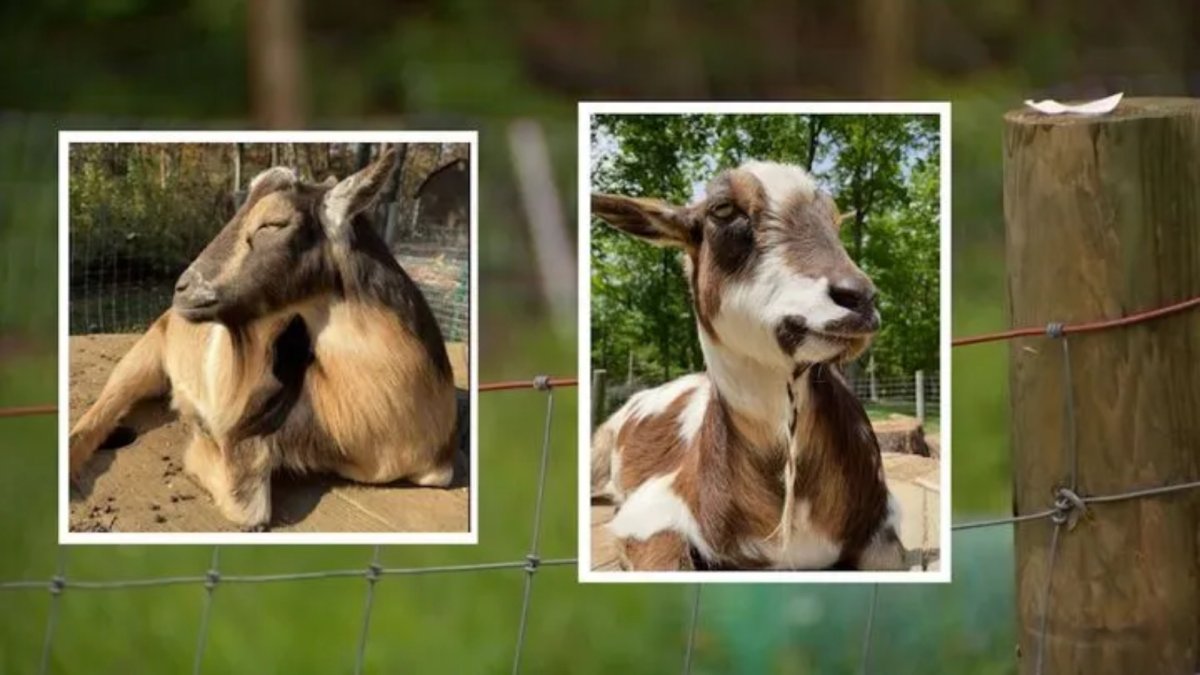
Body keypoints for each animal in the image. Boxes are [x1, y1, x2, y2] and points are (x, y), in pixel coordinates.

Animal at [69, 147, 459, 530]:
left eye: (273, 223)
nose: (183, 289)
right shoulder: (245, 432)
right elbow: (249, 507)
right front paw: (199, 431)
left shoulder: (437, 464)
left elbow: (438, 476)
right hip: (144, 354)